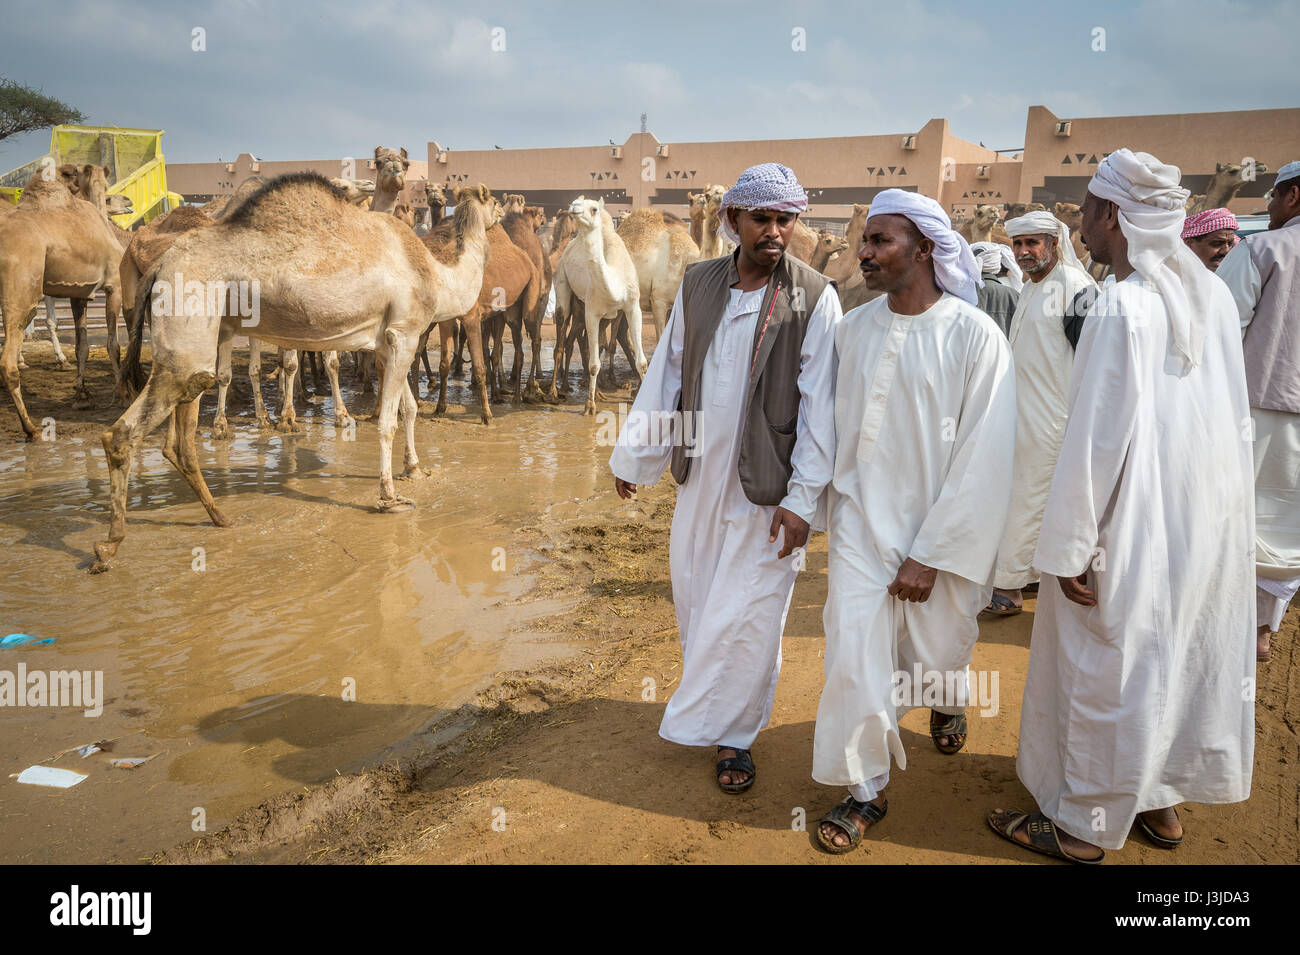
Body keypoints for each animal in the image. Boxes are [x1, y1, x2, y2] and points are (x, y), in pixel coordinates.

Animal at [1, 172, 131, 437]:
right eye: (109, 198)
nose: (129, 201)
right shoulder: (114, 285)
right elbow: (113, 344)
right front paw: (121, 395)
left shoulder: (79, 292)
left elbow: (83, 346)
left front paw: (82, 397)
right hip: (21, 293)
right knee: (8, 360)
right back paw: (30, 428)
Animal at [92, 174, 494, 570]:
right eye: (495, 201)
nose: (501, 213)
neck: (436, 276)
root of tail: (159, 267)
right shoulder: (405, 332)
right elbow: (387, 422)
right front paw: (390, 497)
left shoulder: (389, 342)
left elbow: (408, 410)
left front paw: (415, 469)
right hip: (188, 323)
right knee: (124, 432)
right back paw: (109, 546)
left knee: (180, 432)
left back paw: (220, 517)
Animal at [551, 196, 647, 414]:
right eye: (572, 203)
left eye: (594, 209)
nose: (574, 208)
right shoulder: (592, 313)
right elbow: (594, 363)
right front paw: (589, 405)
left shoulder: (632, 307)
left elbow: (642, 361)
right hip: (562, 285)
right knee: (561, 341)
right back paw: (555, 390)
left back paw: (597, 391)